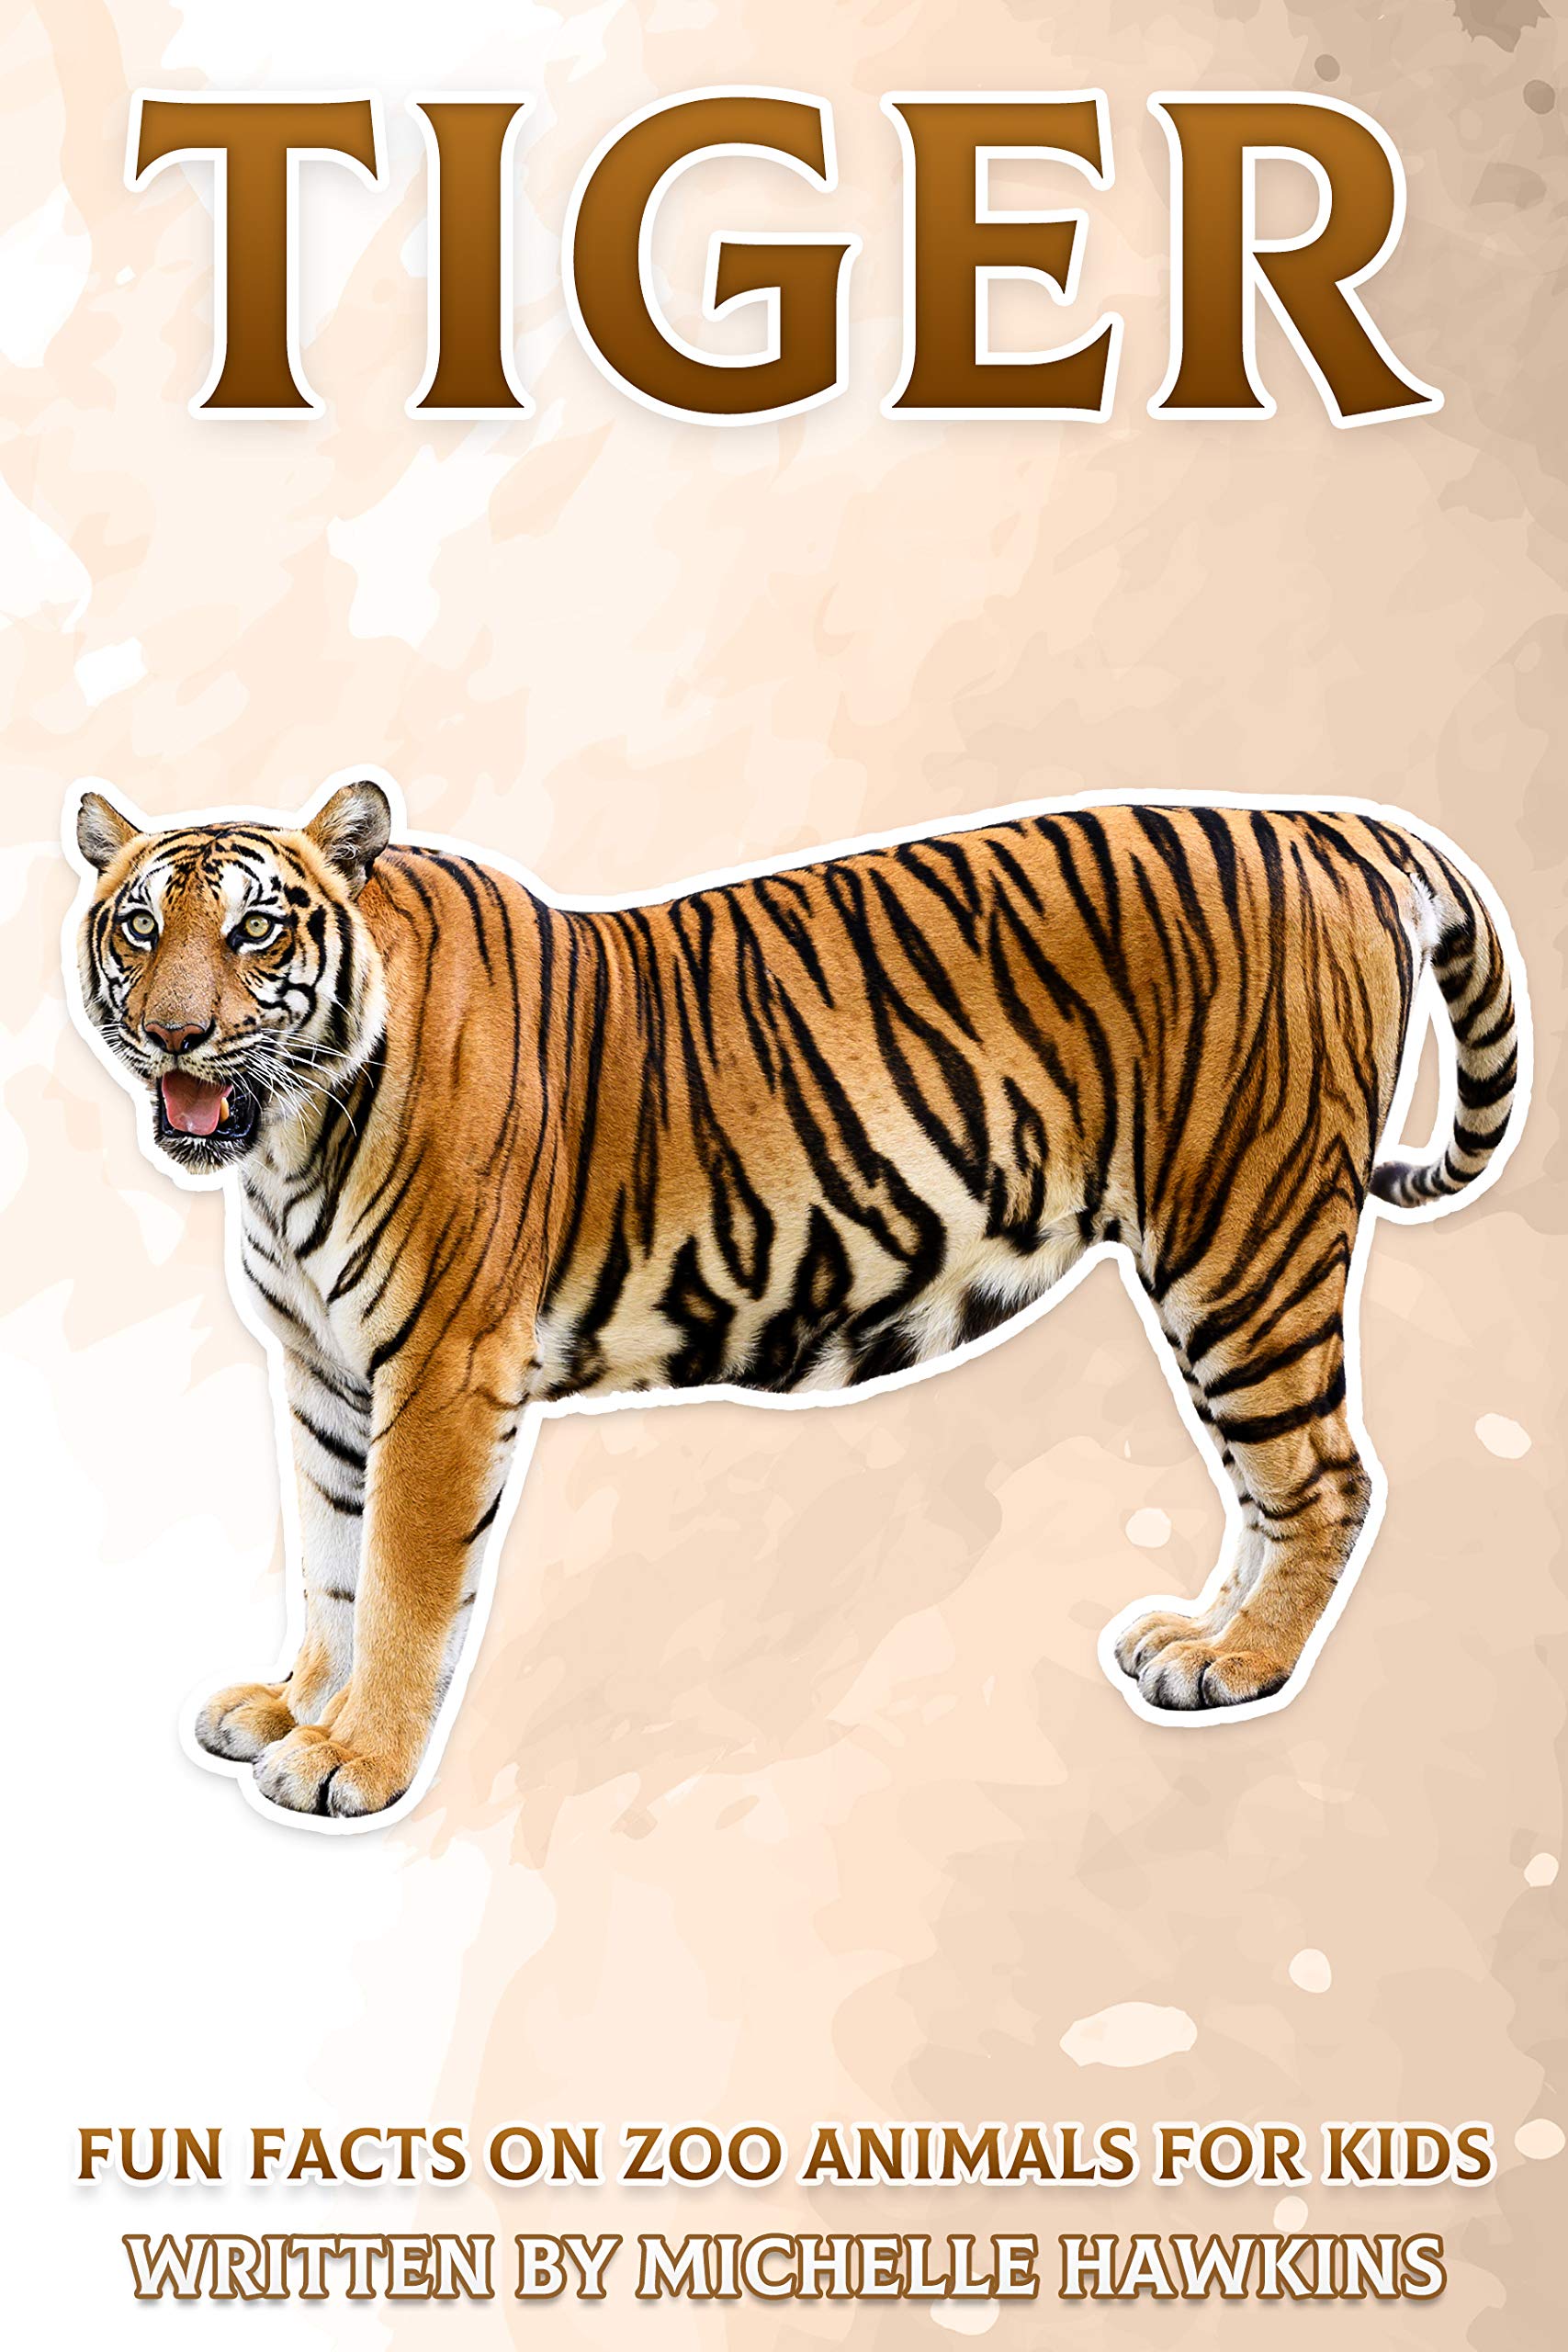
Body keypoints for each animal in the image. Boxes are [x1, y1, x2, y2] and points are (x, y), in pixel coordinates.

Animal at [69, 780, 1523, 1822]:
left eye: (256, 928)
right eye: (141, 927)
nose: (176, 1034)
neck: (283, 1142)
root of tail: (1329, 821)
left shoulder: (439, 1372)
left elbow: (403, 1580)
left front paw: (352, 1759)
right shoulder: (324, 1374)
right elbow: (330, 1560)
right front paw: (292, 1706)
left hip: (1244, 1239)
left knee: (1324, 1475)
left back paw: (1240, 1667)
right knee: (1263, 1480)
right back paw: (1192, 1635)